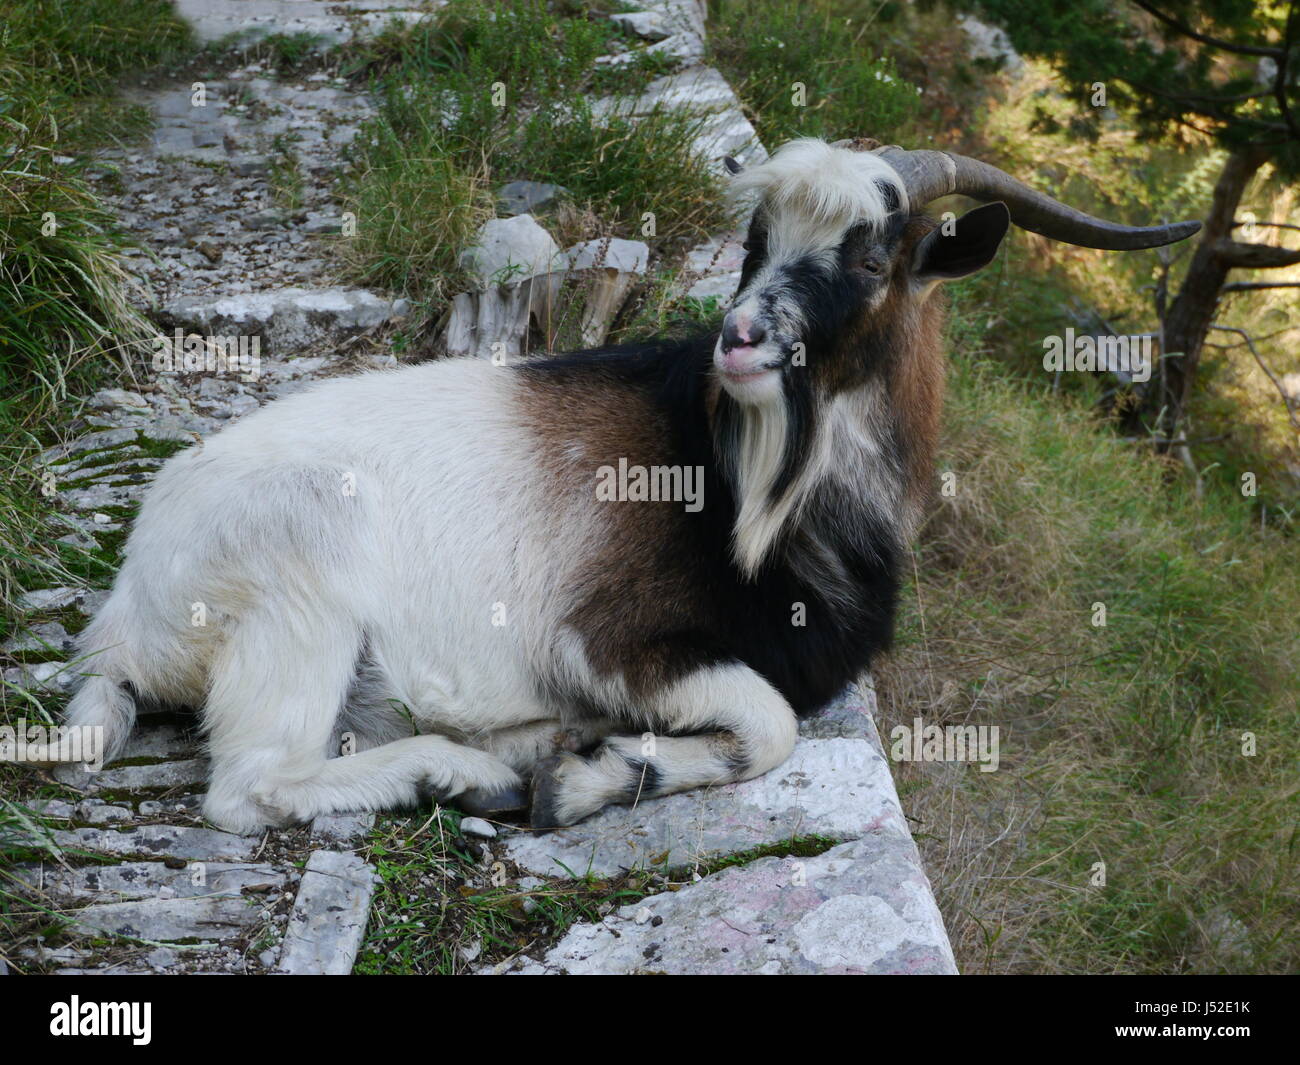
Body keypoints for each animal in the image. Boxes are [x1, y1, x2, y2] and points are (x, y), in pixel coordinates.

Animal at [37, 138, 1198, 833]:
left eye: (872, 256)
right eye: (757, 241)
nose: (739, 340)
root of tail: (126, 611)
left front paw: (589, 759)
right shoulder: (607, 641)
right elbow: (768, 727)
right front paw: (595, 776)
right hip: (298, 595)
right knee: (250, 787)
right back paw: (461, 770)